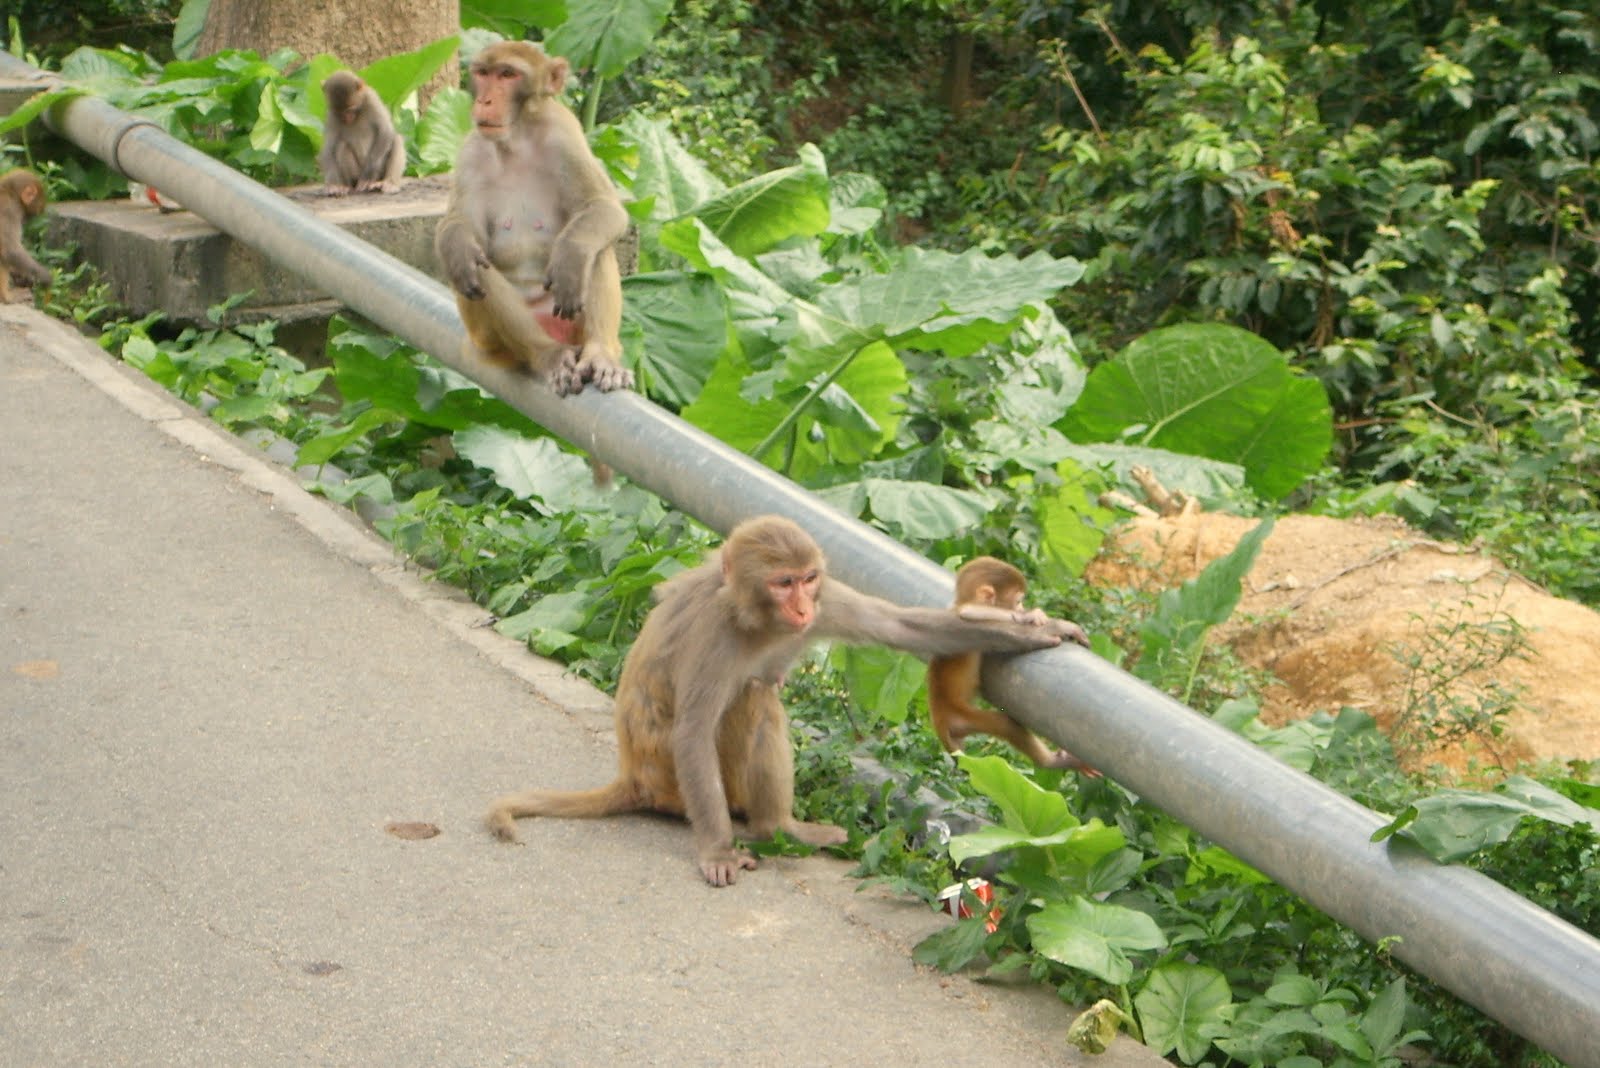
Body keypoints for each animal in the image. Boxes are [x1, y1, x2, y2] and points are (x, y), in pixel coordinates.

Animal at [0, 168, 51, 303]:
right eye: (38, 211)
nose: (26, 221)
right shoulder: (10, 210)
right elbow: (10, 250)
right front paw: (45, 277)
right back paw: (6, 297)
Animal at [434, 41, 632, 396]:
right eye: (483, 73)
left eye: (507, 74)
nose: (484, 101)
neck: (516, 140)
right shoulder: (470, 153)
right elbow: (461, 228)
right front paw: (456, 243)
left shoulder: (564, 133)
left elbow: (603, 206)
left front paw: (572, 255)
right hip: (488, 341)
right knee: (474, 267)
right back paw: (547, 354)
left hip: (571, 321)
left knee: (597, 246)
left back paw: (601, 355)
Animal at [927, 557, 1099, 773]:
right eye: (1018, 601)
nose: (1021, 608)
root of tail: (939, 719)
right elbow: (969, 611)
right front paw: (1034, 617)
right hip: (962, 718)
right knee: (1006, 725)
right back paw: (1052, 762)